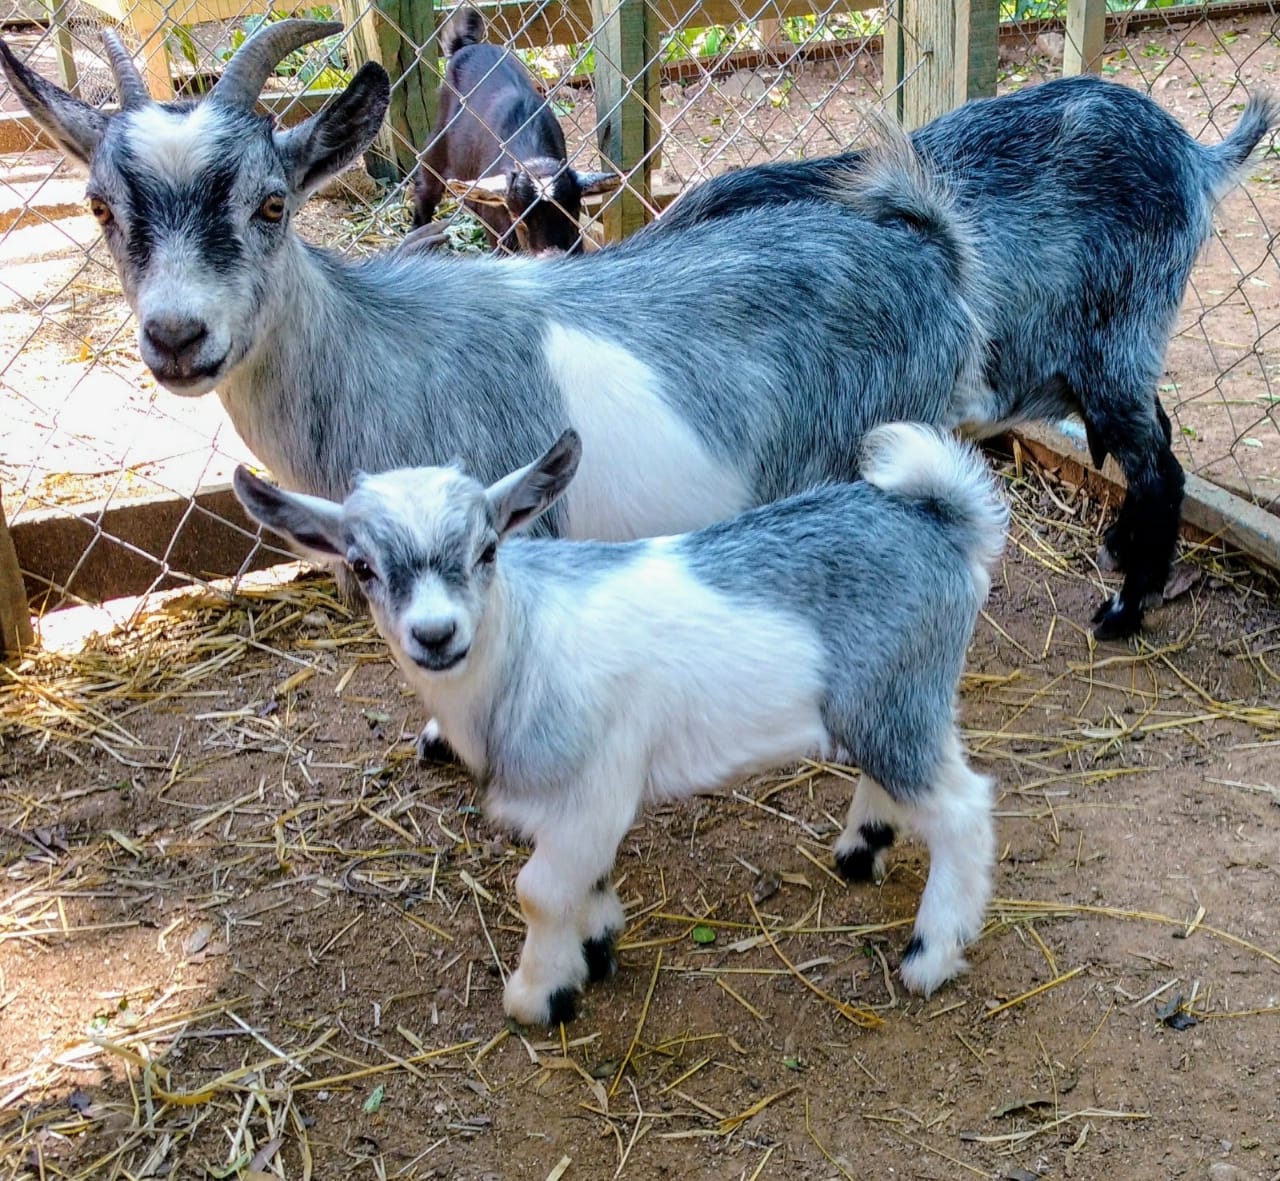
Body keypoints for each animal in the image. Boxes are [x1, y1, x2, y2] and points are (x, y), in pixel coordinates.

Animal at [234, 423, 1008, 1024]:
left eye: (487, 550)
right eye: (362, 566)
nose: (435, 634)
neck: (520, 649)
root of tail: (938, 515)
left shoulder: (593, 789)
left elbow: (539, 892)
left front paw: (539, 995)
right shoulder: (582, 807)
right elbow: (586, 880)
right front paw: (596, 944)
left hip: (893, 699)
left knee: (962, 807)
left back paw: (930, 954)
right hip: (897, 700)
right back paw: (861, 848)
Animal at [411, 6, 618, 253]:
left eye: (573, 213)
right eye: (518, 218)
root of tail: (465, 45)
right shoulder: (497, 224)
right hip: (436, 145)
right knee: (425, 190)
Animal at [653, 77, 1280, 639]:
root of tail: (1194, 156)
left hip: (1120, 339)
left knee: (1160, 471)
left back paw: (1122, 612)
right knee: (1160, 435)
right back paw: (1119, 550)